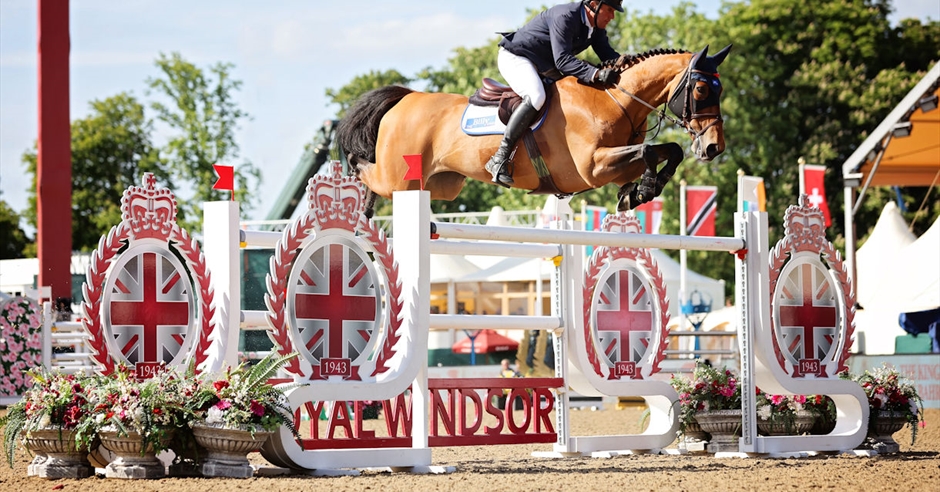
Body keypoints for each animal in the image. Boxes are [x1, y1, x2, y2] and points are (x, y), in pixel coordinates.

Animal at [337, 44, 731, 214]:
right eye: (700, 89)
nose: (714, 147)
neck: (615, 99)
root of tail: (407, 98)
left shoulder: (616, 166)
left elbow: (667, 151)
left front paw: (639, 192)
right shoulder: (593, 168)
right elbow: (650, 150)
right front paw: (644, 190)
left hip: (439, 186)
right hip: (399, 177)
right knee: (367, 171)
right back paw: (356, 193)